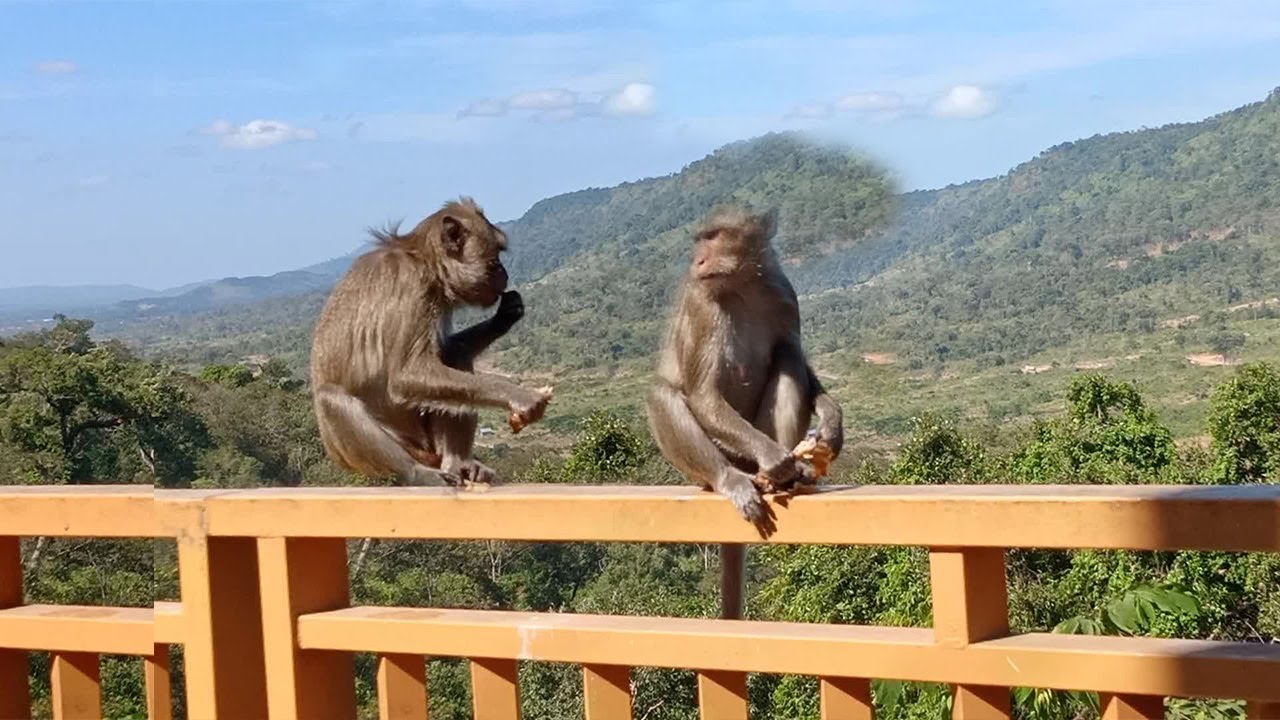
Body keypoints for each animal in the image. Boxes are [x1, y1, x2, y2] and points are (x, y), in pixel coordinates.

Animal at [310, 197, 552, 487]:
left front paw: (504, 317)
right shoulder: (412, 287)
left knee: (454, 359)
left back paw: (457, 462)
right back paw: (416, 472)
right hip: (387, 450)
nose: (504, 273)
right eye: (495, 259)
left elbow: (447, 351)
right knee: (331, 397)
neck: (425, 262)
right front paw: (518, 395)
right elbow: (406, 375)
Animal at [646, 204, 843, 618]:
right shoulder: (700, 299)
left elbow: (796, 356)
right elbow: (703, 394)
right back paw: (734, 478)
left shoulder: (784, 294)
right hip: (723, 453)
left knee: (787, 358)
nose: (697, 260)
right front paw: (774, 456)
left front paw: (832, 417)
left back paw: (788, 475)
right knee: (662, 394)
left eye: (714, 236)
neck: (741, 285)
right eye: (700, 239)